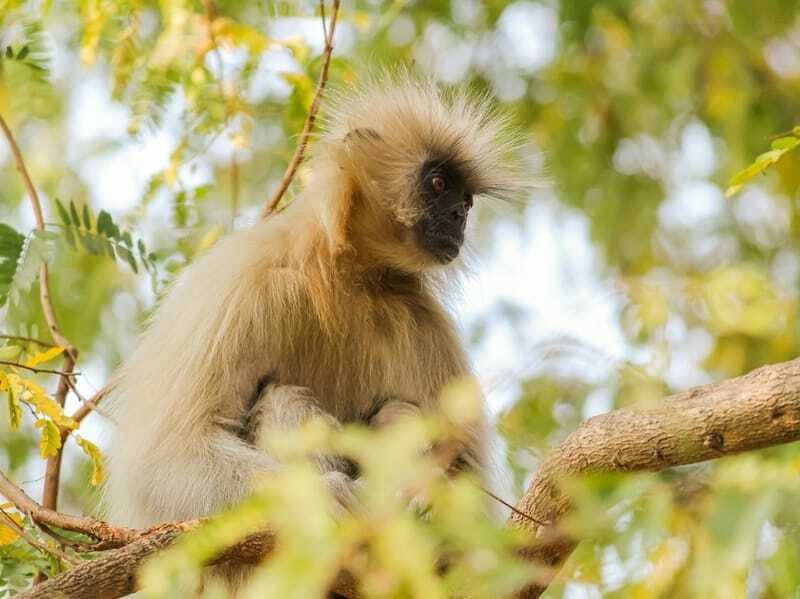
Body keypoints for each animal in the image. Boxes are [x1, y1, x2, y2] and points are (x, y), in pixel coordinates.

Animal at [104, 72, 520, 528]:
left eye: (467, 200)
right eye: (439, 183)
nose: (459, 215)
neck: (351, 275)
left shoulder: (426, 324)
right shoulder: (242, 283)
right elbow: (166, 461)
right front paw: (326, 497)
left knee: (398, 413)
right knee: (285, 398)